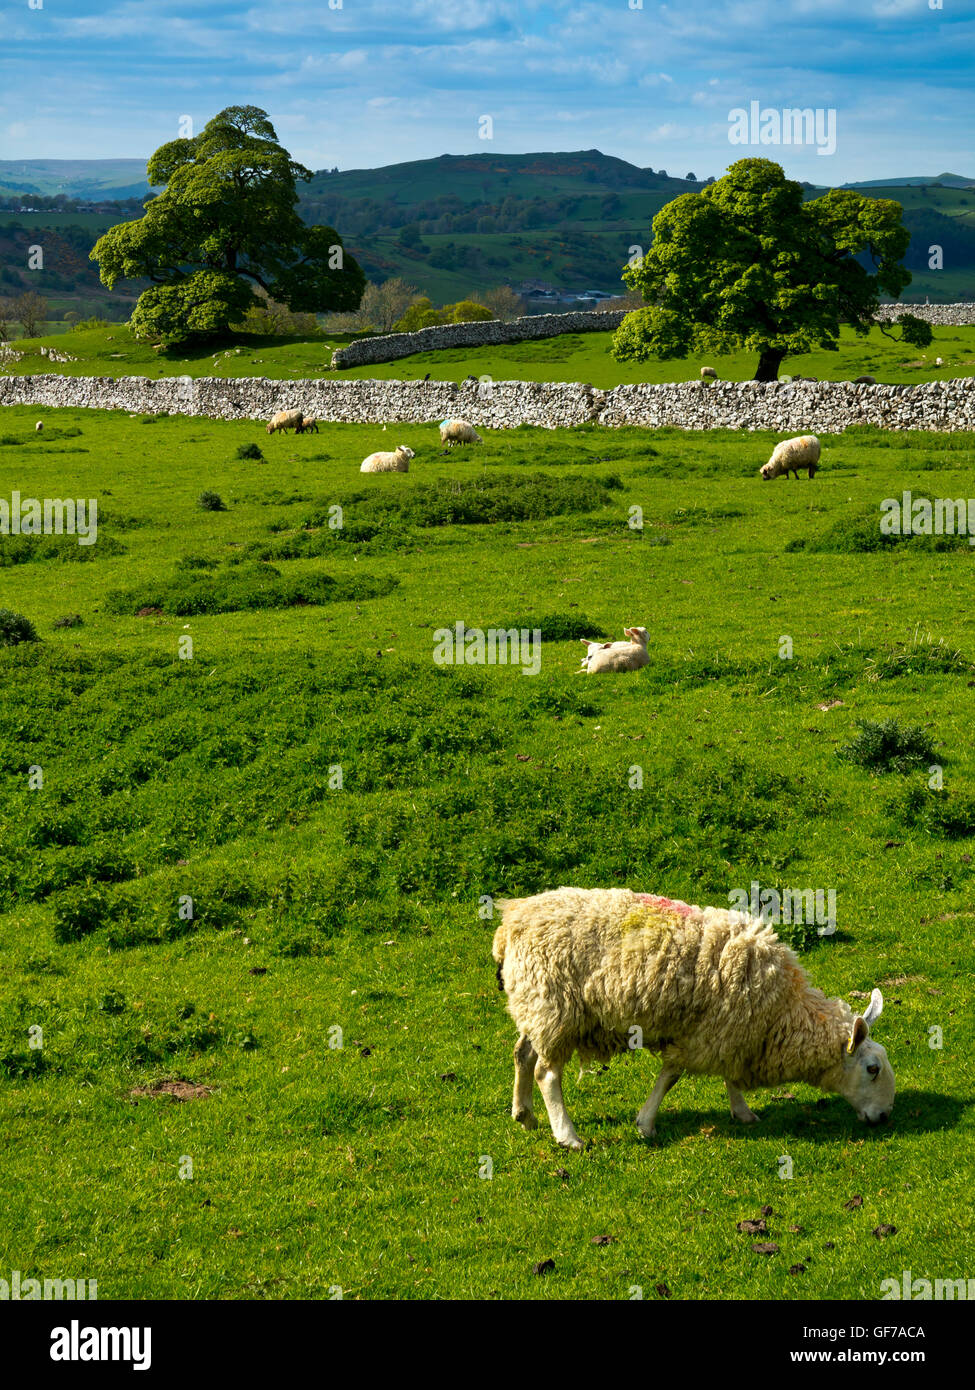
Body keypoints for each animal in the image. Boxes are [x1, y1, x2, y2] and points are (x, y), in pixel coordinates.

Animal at [493, 887, 895, 1149]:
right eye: (872, 1069)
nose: (884, 1117)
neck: (783, 1012)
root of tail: (511, 921)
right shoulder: (707, 1032)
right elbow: (671, 1076)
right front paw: (646, 1123)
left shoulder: (733, 1031)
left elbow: (729, 1075)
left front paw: (742, 1112)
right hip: (554, 1005)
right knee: (546, 1073)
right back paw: (567, 1136)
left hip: (534, 1003)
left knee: (522, 1054)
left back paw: (524, 1114)